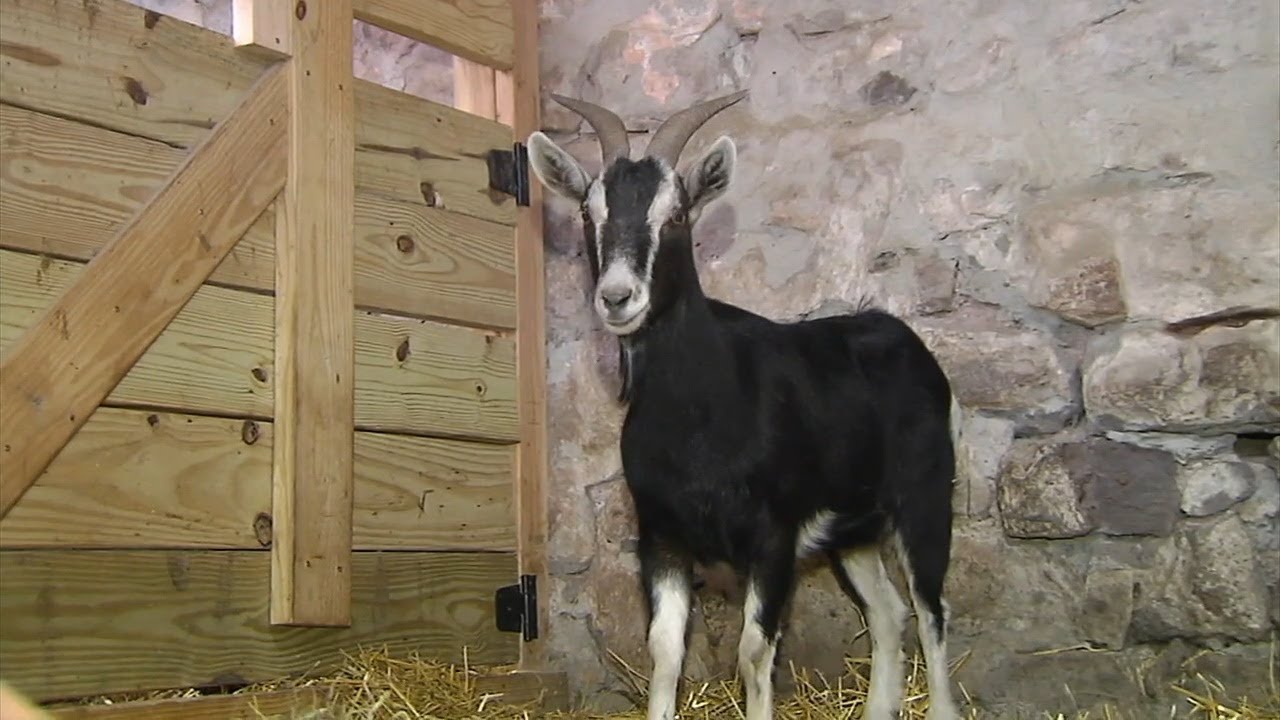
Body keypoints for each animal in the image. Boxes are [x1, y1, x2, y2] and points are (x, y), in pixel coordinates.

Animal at [527, 91, 962, 720]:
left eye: (677, 215)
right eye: (589, 213)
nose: (617, 297)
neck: (700, 416)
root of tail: (899, 335)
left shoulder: (773, 537)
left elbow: (754, 653)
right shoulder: (661, 535)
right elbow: (664, 649)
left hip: (924, 496)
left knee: (932, 609)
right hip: (852, 528)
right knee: (888, 611)